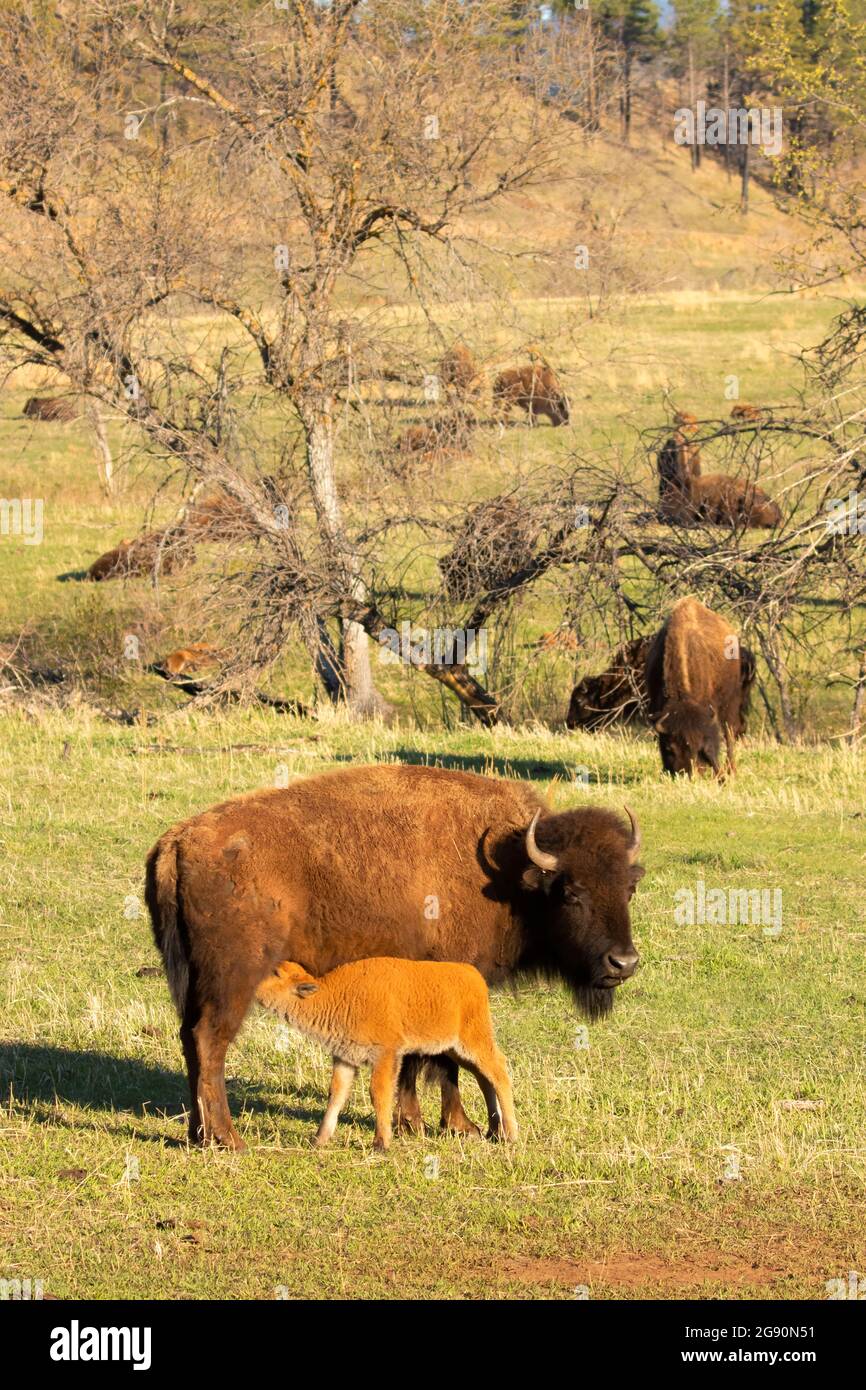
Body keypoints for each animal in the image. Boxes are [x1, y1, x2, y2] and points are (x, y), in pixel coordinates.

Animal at [146, 764, 644, 1150]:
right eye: (572, 893)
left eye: (629, 889)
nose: (623, 963)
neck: (508, 869)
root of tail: (177, 842)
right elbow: (443, 1060)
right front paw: (457, 1125)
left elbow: (418, 1058)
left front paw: (414, 1123)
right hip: (233, 978)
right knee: (211, 1042)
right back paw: (228, 1139)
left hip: (193, 980)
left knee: (189, 1041)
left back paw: (197, 1134)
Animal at [645, 597, 756, 777]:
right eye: (669, 748)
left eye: (698, 748)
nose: (685, 773)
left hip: (730, 703)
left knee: (730, 733)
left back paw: (731, 770)